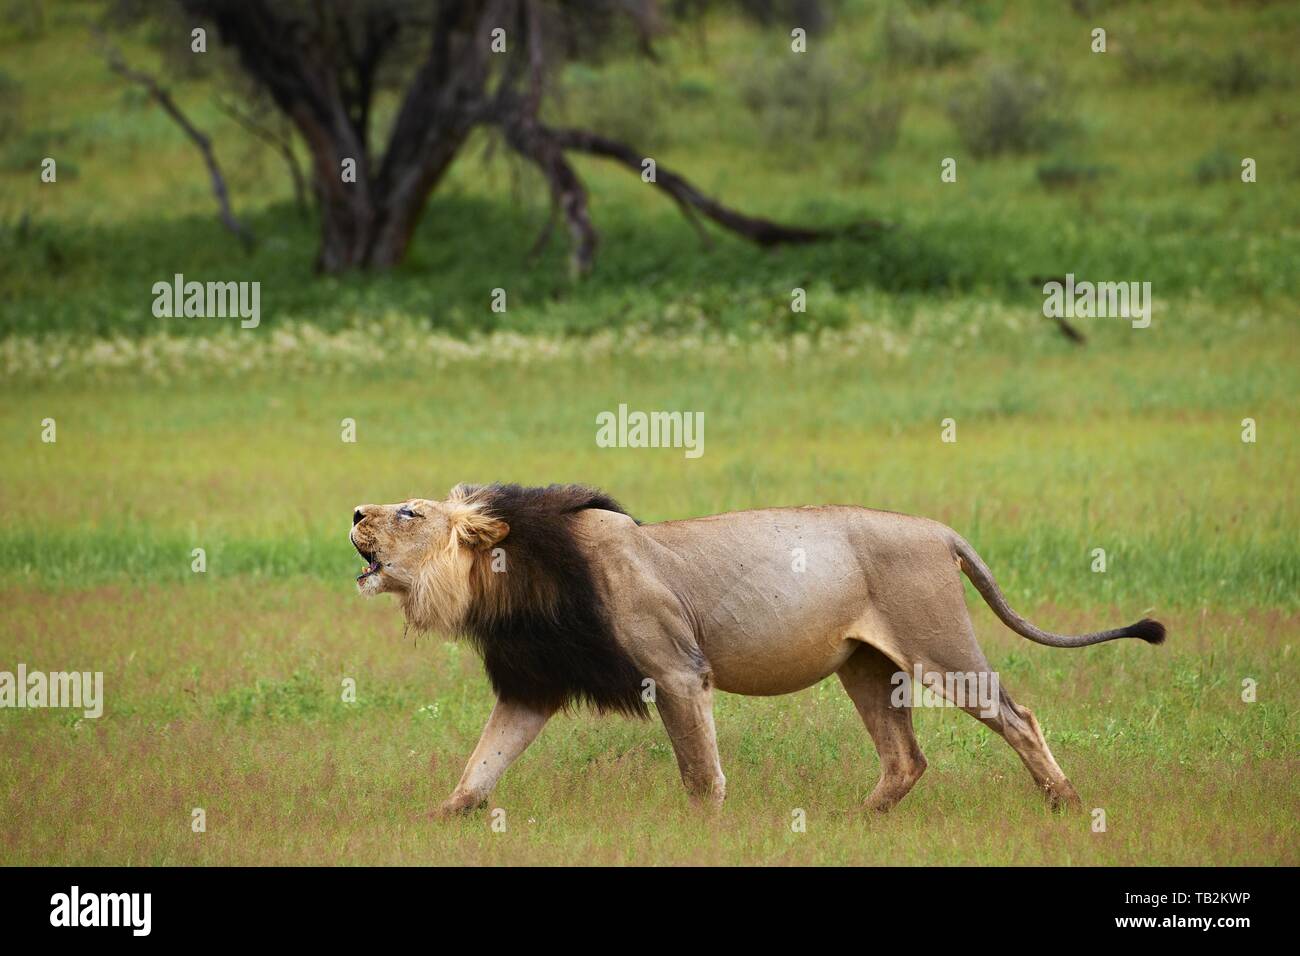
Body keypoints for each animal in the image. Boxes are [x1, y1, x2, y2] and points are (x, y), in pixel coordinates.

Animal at [350, 483, 1165, 816]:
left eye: (409, 512)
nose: (354, 512)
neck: (506, 581)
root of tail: (939, 530)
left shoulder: (677, 672)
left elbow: (699, 774)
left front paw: (705, 832)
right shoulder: (534, 686)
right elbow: (477, 772)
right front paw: (433, 824)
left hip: (938, 649)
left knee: (1019, 718)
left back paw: (1066, 805)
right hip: (865, 666)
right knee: (905, 757)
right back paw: (852, 824)